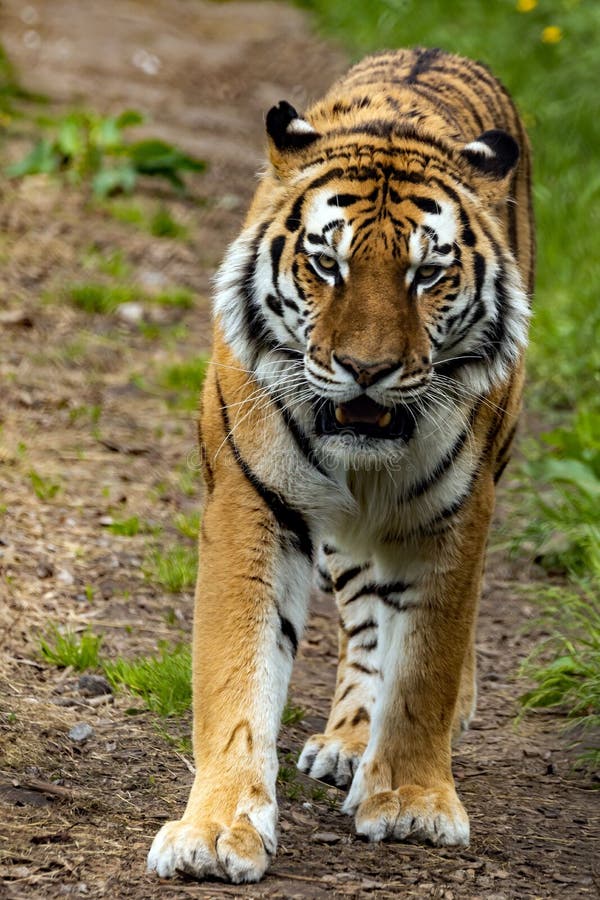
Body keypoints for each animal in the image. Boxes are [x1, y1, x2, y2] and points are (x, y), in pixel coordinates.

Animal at [147, 47, 534, 883]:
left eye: (428, 275)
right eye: (327, 264)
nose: (366, 370)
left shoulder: (454, 512)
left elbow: (425, 663)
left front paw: (414, 803)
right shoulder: (253, 500)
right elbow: (238, 672)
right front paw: (216, 829)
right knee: (362, 626)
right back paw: (349, 741)